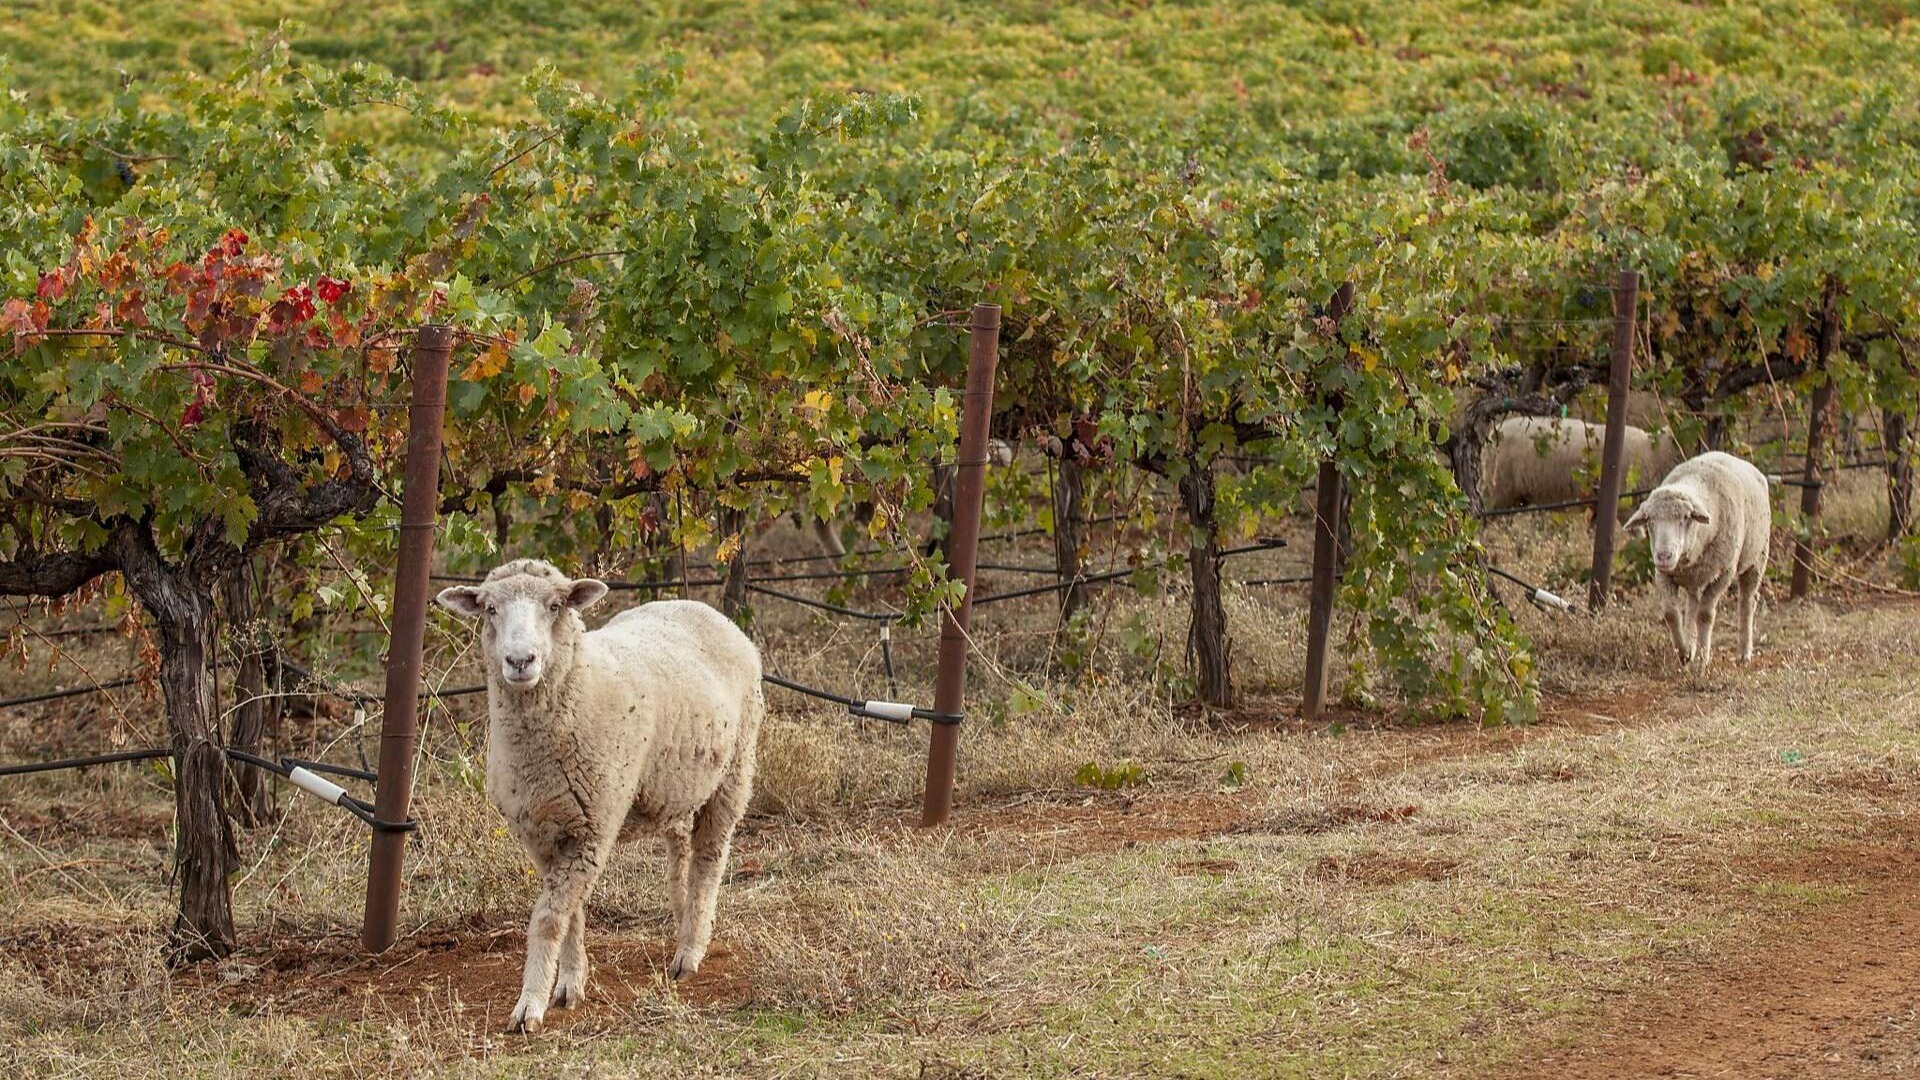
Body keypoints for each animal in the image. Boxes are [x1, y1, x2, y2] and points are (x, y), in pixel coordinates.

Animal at [435, 559, 763, 1034]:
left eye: (555, 606)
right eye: (490, 609)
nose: (520, 660)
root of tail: (702, 608)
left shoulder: (594, 827)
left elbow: (549, 917)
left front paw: (530, 1004)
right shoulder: (540, 833)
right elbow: (570, 914)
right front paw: (569, 984)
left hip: (734, 770)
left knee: (708, 858)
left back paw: (691, 949)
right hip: (675, 782)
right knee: (680, 850)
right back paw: (681, 915)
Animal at [1623, 451, 1771, 673]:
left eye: (1685, 518)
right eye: (1649, 519)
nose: (1663, 555)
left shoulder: (1723, 574)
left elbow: (1705, 615)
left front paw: (1702, 661)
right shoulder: (1664, 574)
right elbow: (1671, 614)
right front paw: (1684, 653)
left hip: (1756, 560)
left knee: (1747, 602)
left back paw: (1744, 654)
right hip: (1695, 577)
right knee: (1692, 604)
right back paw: (1690, 644)